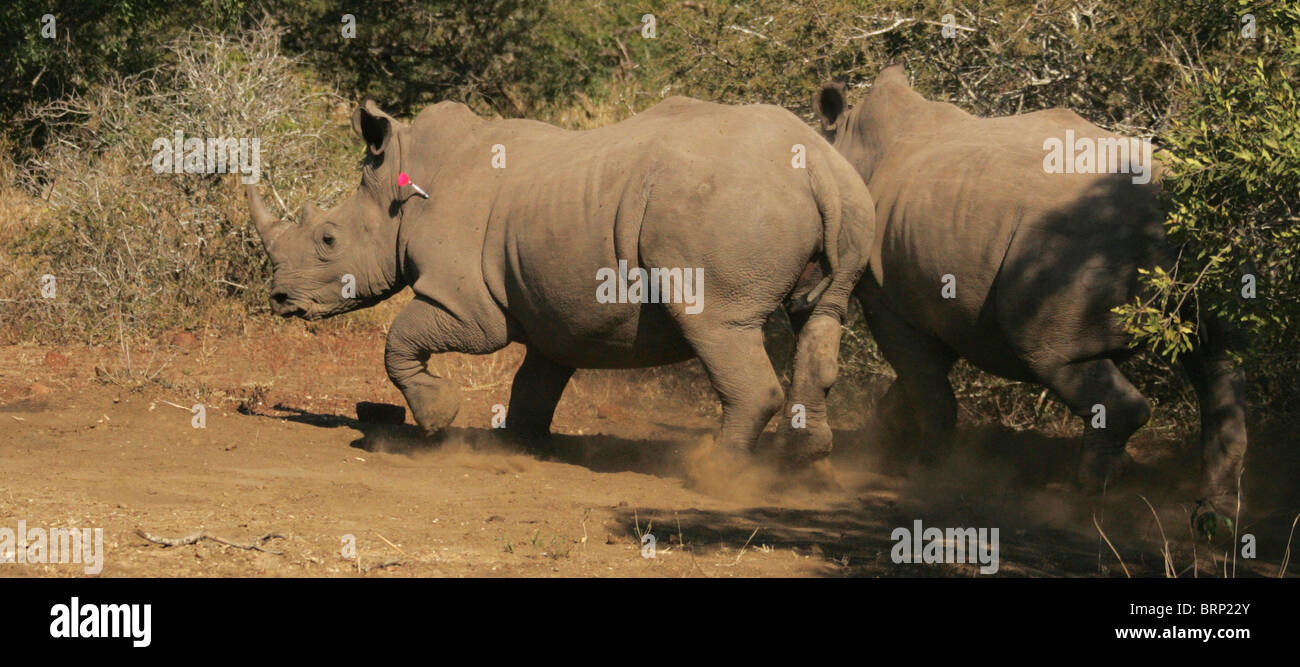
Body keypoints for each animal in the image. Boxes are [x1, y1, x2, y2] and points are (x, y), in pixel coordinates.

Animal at [247, 96, 874, 461]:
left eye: (328, 240)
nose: (279, 298)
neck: (405, 186)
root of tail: (817, 163)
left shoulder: (465, 304)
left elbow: (399, 340)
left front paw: (437, 419)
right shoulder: (556, 305)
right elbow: (537, 379)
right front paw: (519, 447)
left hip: (725, 208)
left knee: (719, 325)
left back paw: (716, 473)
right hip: (846, 197)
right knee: (821, 314)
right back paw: (805, 461)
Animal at [811, 65, 1247, 516]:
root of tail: (1174, 200)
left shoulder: (888, 300)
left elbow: (927, 386)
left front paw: (923, 475)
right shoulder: (940, 300)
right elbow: (917, 385)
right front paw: (883, 447)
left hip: (1077, 239)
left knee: (1048, 351)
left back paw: (1082, 503)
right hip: (1213, 235)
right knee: (1220, 362)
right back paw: (1212, 517)